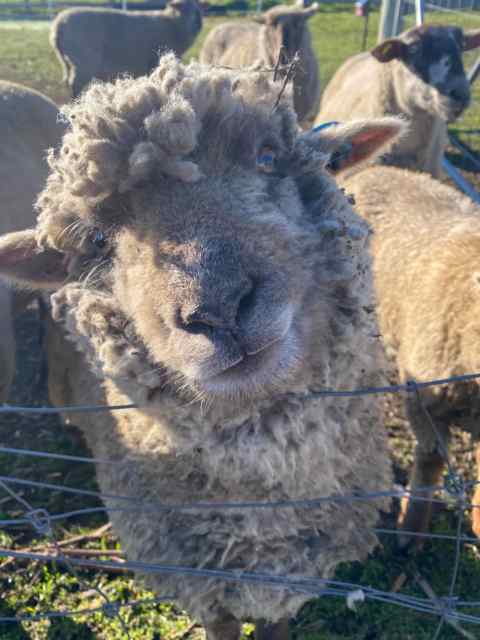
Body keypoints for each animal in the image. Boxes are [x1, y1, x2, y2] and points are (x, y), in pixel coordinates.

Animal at [0, 55, 403, 639]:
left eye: (268, 156)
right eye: (97, 240)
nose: (219, 309)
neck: (262, 521)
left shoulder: (290, 577)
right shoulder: (206, 586)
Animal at [50, 0, 203, 97]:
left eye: (199, 8)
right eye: (184, 7)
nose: (198, 24)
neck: (172, 23)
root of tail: (58, 24)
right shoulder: (153, 60)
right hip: (84, 62)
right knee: (75, 84)